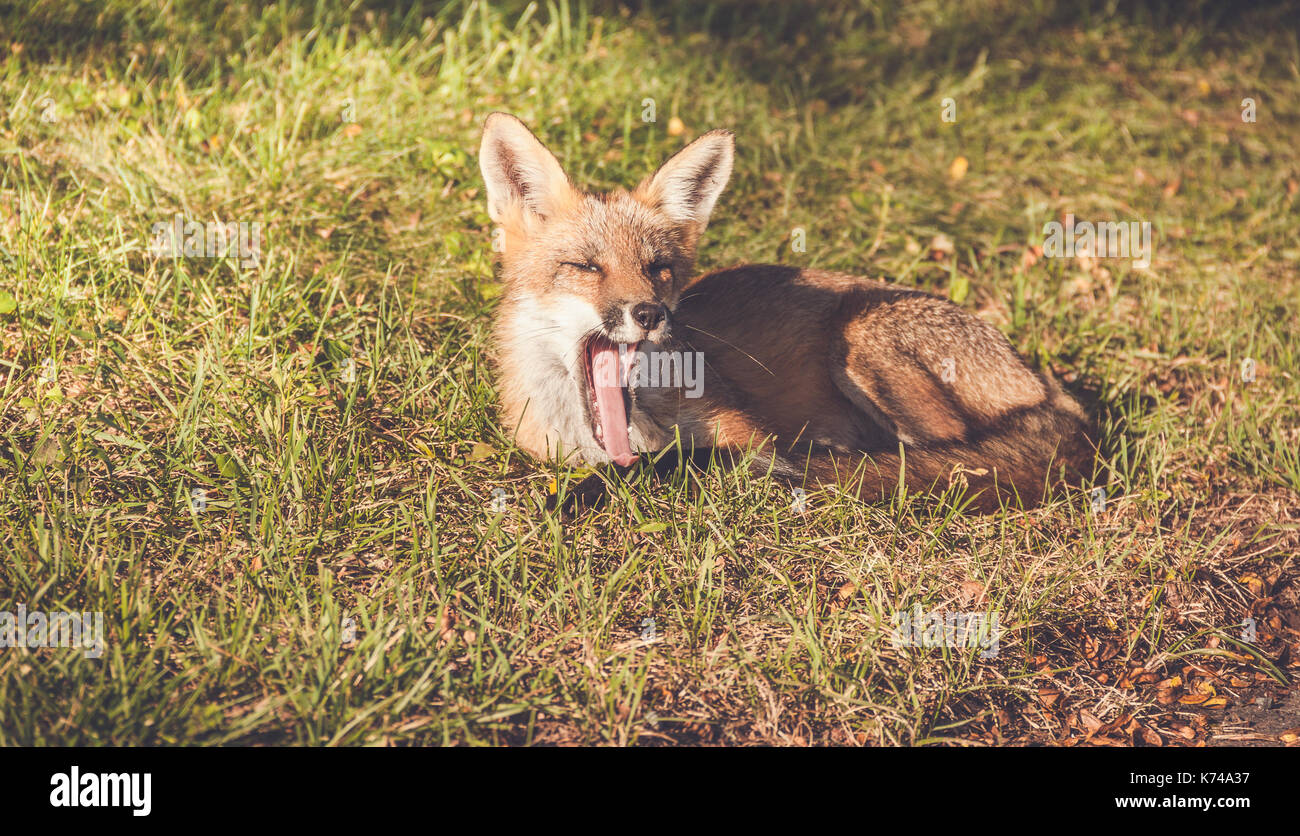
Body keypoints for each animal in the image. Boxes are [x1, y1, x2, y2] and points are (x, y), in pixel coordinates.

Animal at [478, 112, 1096, 511]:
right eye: (586, 267)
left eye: (659, 268)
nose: (651, 314)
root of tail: (1048, 385)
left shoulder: (743, 435)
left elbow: (672, 465)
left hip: (861, 335)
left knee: (955, 457)